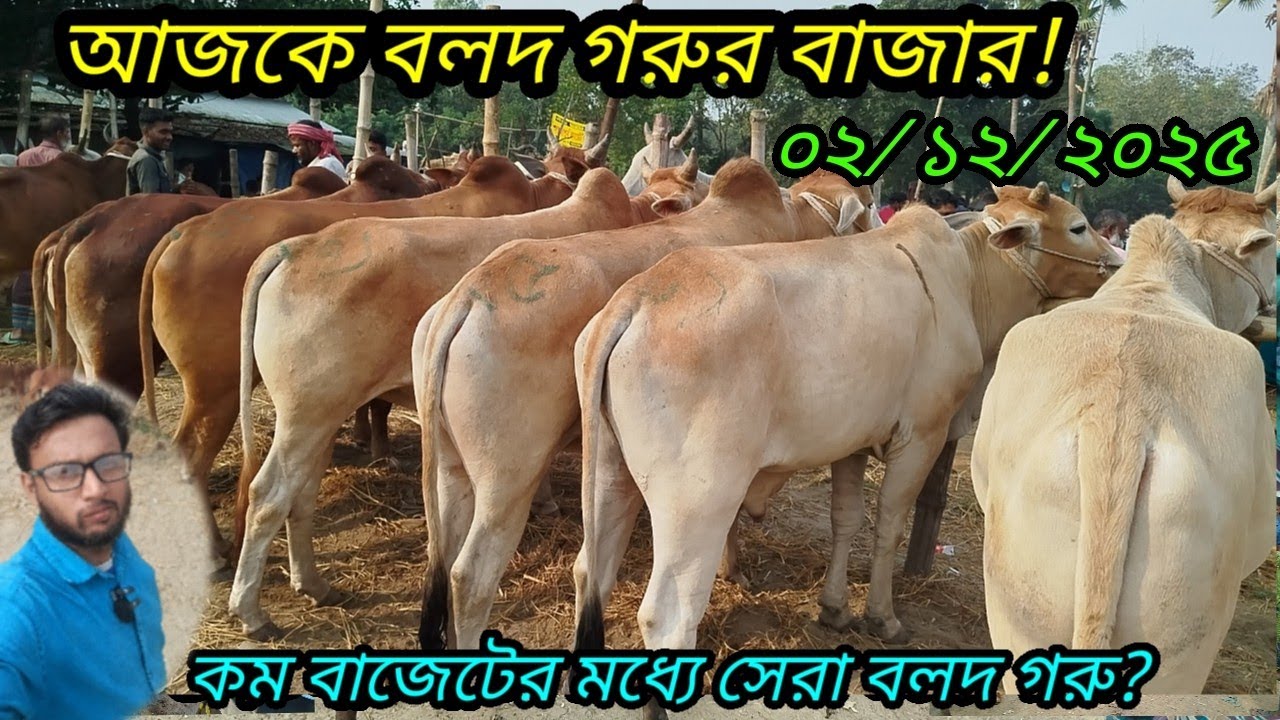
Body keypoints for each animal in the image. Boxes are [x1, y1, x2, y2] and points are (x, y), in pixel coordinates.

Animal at [226, 162, 710, 639]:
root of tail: (290, 249)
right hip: (308, 418)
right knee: (268, 495)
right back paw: (251, 611)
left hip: (321, 420)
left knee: (301, 495)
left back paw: (312, 584)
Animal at [411, 159, 881, 653]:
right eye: (868, 205)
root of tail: (467, 295)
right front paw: (732, 569)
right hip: (509, 476)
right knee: (470, 575)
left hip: (450, 465)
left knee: (443, 553)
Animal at [567, 183, 1121, 717]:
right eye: (1078, 226)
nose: (1115, 264)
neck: (966, 281)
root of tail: (637, 298)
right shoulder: (921, 434)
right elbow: (889, 525)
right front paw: (884, 618)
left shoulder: (852, 442)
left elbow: (846, 520)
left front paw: (835, 609)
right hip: (696, 503)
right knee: (667, 616)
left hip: (610, 475)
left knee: (590, 572)